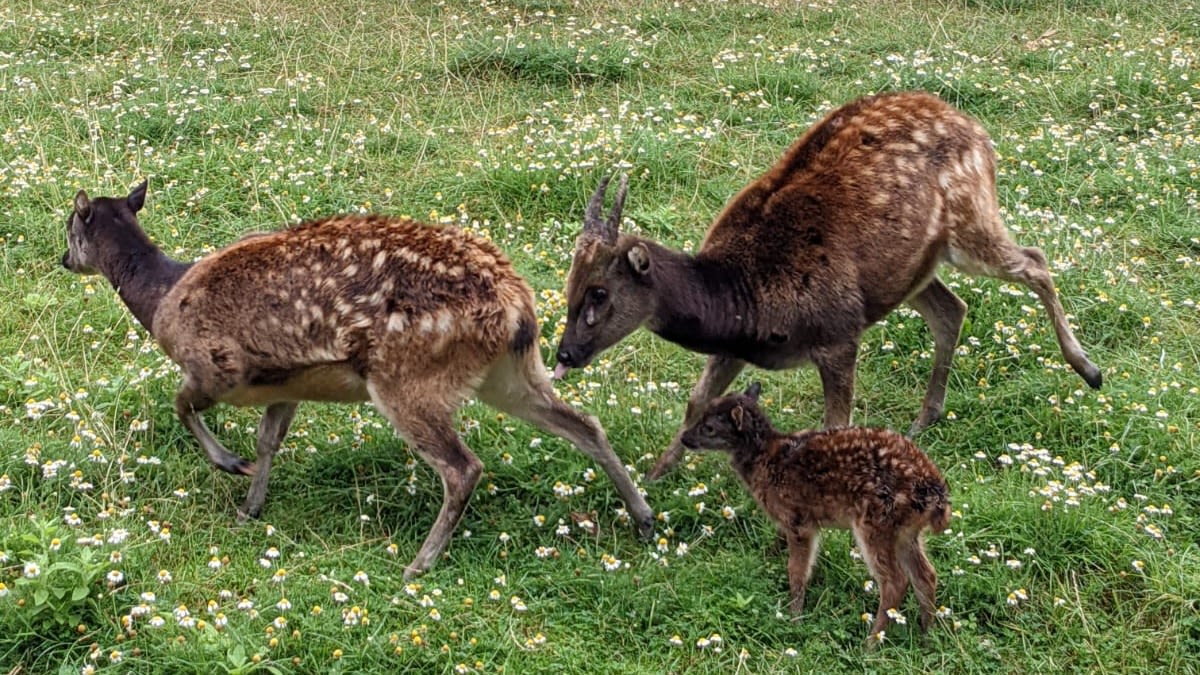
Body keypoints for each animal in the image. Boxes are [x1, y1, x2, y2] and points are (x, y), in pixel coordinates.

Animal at [60, 180, 655, 578]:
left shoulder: (215, 364)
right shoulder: (288, 384)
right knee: (584, 423)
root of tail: (518, 307)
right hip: (512, 374)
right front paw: (250, 508)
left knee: (463, 467)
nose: (64, 258)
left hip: (405, 377)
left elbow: (180, 405)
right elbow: (269, 440)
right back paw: (643, 516)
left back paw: (418, 564)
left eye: (70, 224)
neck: (161, 298)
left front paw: (230, 465)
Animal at [553, 91, 1102, 480]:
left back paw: (1089, 369)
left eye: (599, 292)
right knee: (953, 308)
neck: (744, 301)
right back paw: (926, 417)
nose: (564, 353)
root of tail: (979, 130)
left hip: (970, 219)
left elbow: (835, 425)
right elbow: (695, 400)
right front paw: (653, 484)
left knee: (1035, 261)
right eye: (569, 283)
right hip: (912, 269)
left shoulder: (839, 331)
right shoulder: (735, 346)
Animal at [680, 382, 951, 647]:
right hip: (905, 531)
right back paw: (927, 635)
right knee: (926, 575)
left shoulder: (799, 521)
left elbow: (797, 571)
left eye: (709, 427)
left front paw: (794, 618)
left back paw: (871, 644)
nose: (684, 438)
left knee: (895, 581)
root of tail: (938, 496)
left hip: (877, 522)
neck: (767, 459)